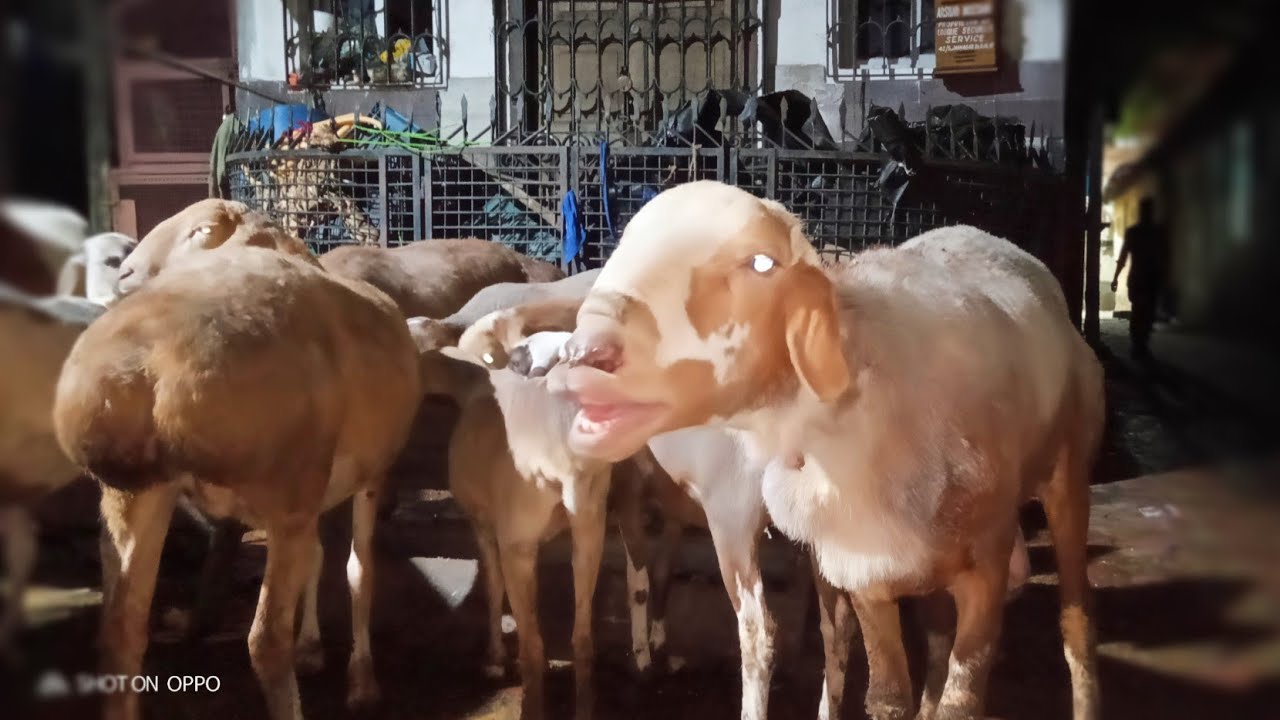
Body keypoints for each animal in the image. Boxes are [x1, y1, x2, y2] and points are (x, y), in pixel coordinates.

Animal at [55, 229, 421, 720]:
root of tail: (150, 371)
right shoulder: (346, 483)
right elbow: (357, 572)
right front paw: (361, 683)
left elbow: (327, 561)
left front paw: (317, 652)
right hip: (286, 491)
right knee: (266, 639)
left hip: (133, 495)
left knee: (121, 634)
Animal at [408, 321, 654, 720]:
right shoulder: (575, 531)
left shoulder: (493, 529)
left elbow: (495, 589)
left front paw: (495, 660)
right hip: (596, 524)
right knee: (590, 625)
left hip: (519, 537)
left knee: (529, 636)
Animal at [551, 181, 1104, 720]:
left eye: (761, 263)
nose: (587, 353)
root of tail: (992, 239)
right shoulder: (864, 573)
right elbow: (887, 695)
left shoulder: (986, 569)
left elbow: (959, 703)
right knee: (916, 634)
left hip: (1067, 476)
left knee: (1076, 623)